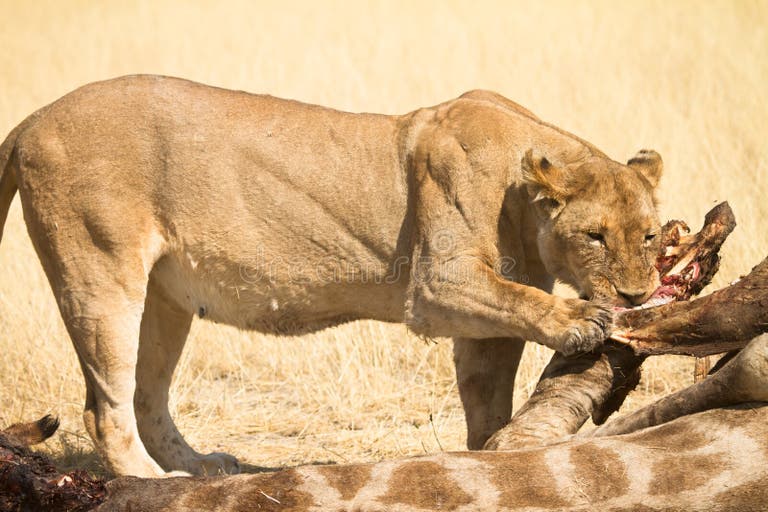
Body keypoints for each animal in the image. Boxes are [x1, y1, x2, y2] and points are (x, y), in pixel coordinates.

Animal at [0, 76, 662, 477]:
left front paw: (493, 457)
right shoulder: (437, 285)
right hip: (101, 275)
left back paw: (200, 465)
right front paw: (586, 318)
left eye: (651, 236)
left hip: (166, 297)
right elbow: (523, 308)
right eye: (595, 236)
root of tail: (33, 117)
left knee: (145, 394)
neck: (523, 200)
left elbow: (488, 395)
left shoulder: (487, 322)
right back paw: (157, 483)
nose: (637, 294)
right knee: (104, 407)